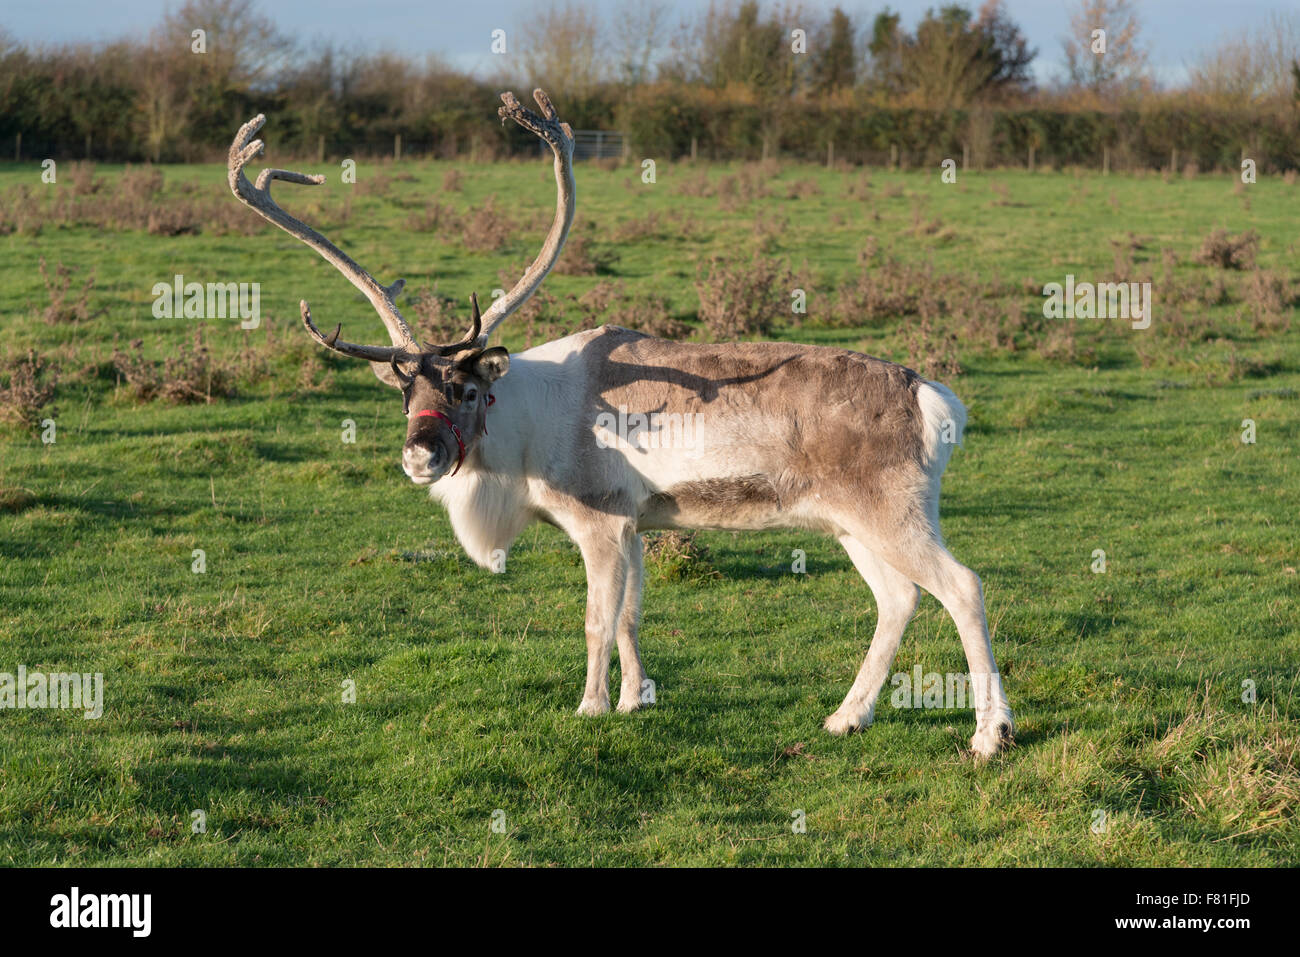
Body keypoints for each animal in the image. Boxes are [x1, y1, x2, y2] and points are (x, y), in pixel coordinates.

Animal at [227, 90, 1015, 757]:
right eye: (405, 389)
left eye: (466, 387)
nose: (421, 455)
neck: (527, 430)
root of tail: (934, 399)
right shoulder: (639, 521)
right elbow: (634, 614)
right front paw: (637, 699)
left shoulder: (600, 519)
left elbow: (596, 619)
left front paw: (592, 705)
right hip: (851, 522)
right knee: (899, 598)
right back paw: (846, 716)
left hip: (891, 510)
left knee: (963, 585)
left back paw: (990, 735)